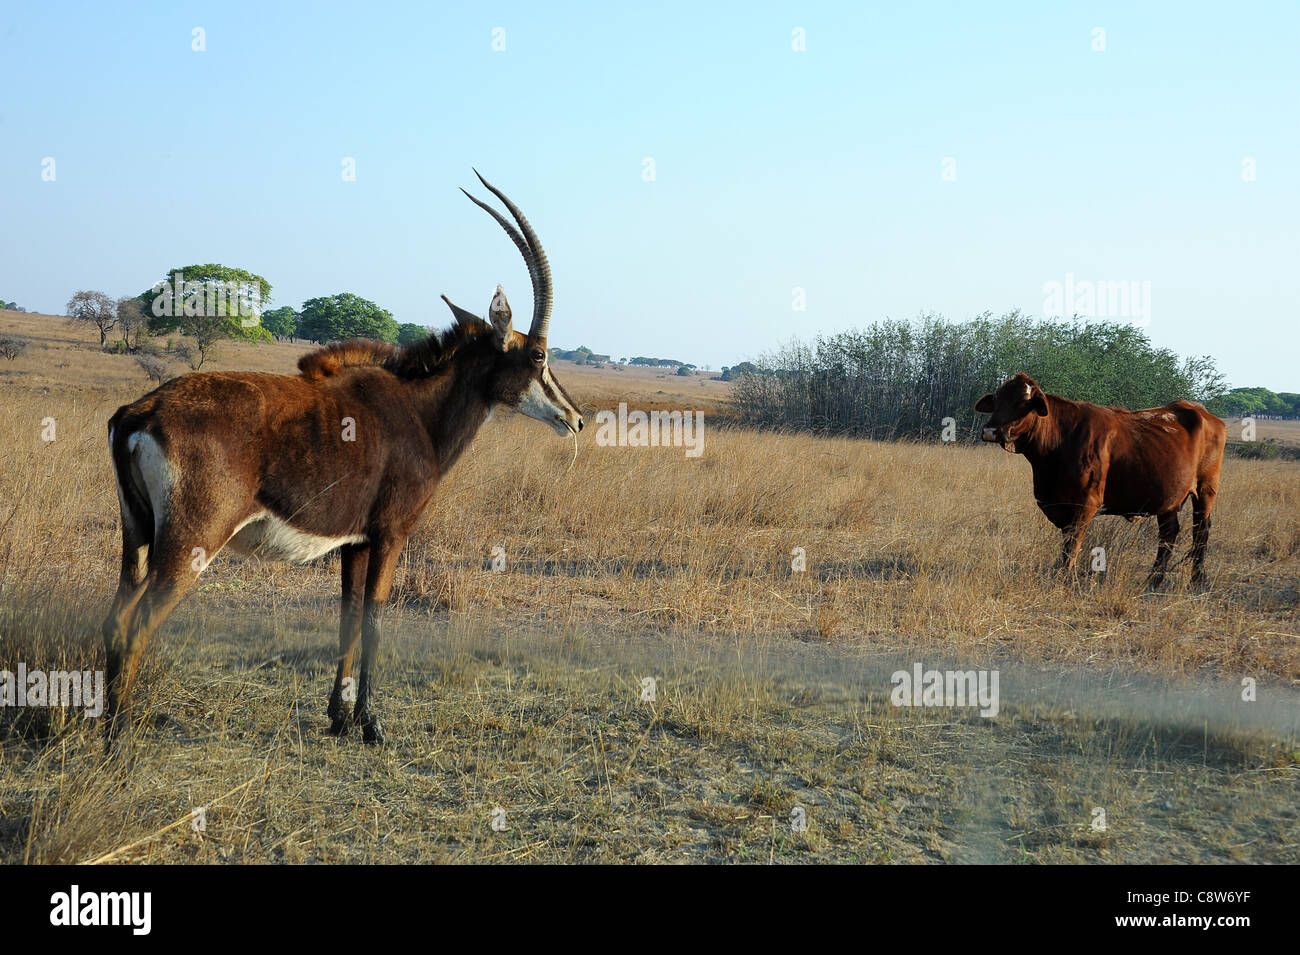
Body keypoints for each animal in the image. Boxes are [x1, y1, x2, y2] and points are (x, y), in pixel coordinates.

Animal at [102, 172, 583, 744]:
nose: (576, 418)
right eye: (538, 355)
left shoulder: (354, 542)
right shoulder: (391, 533)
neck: (417, 410)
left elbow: (348, 618)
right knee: (136, 624)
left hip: (136, 535)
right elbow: (374, 617)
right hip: (191, 541)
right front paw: (371, 724)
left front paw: (338, 717)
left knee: (115, 617)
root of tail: (139, 412)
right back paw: (119, 736)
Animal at [974, 373, 1226, 588]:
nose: (990, 431)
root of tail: (1201, 411)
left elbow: (1072, 545)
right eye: (997, 399)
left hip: (1206, 489)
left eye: (1025, 403)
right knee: (1168, 534)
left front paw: (1064, 579)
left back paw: (1196, 580)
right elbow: (1067, 543)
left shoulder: (1087, 502)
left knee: (1200, 532)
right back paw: (1153, 581)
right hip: (1168, 497)